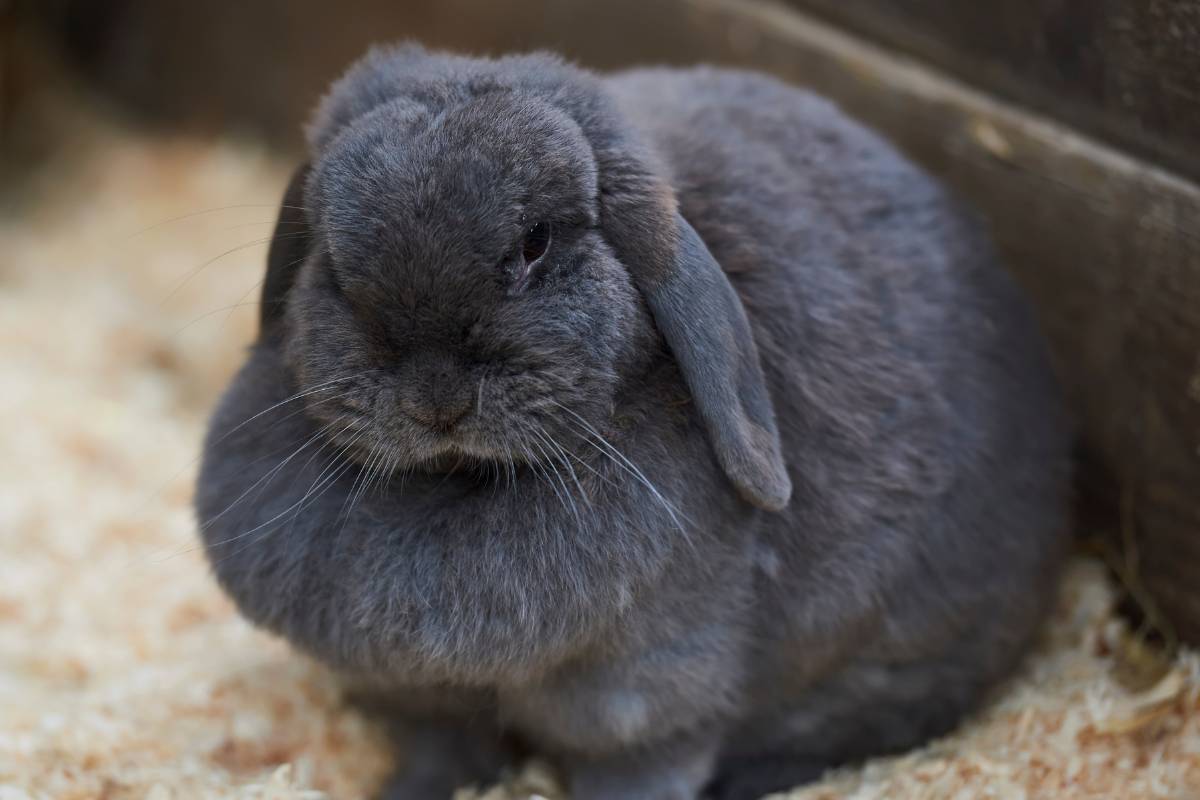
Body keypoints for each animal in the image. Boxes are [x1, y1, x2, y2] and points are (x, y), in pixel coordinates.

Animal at [194, 44, 1072, 800]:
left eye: (535, 243)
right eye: (335, 267)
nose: (435, 398)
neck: (455, 483)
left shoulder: (648, 703)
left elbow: (642, 764)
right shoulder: (426, 704)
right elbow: (438, 752)